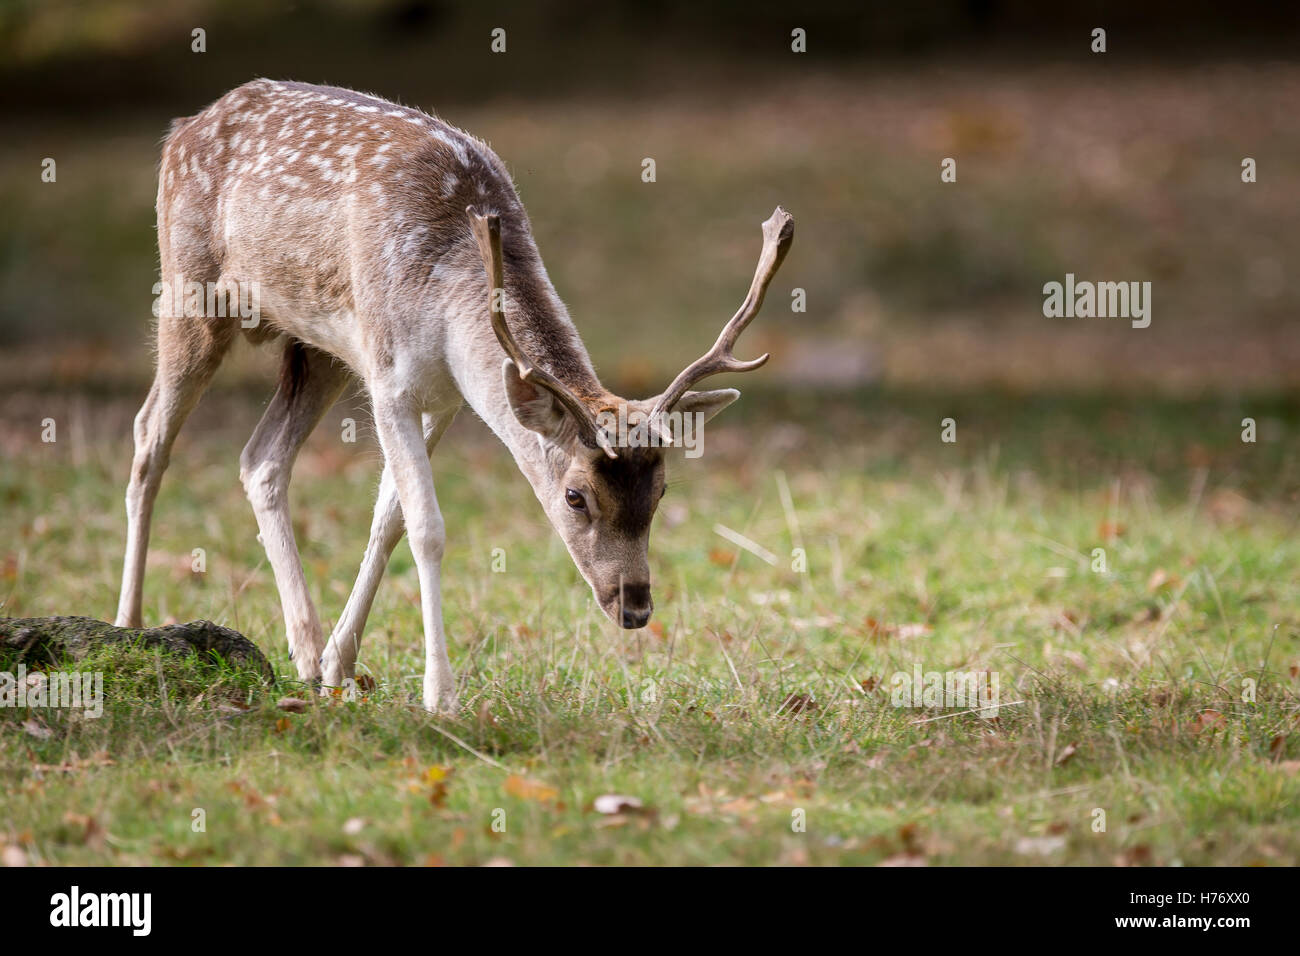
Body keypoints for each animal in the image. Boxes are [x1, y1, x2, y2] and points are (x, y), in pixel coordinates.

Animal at [114, 79, 793, 713]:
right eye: (575, 497)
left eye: (662, 491)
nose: (635, 608)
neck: (447, 289)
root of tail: (182, 128)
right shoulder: (389, 380)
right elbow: (427, 527)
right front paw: (439, 695)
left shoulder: (443, 396)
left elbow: (387, 518)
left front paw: (339, 665)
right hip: (190, 287)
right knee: (149, 436)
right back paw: (129, 625)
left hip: (317, 348)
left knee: (260, 458)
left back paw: (304, 652)